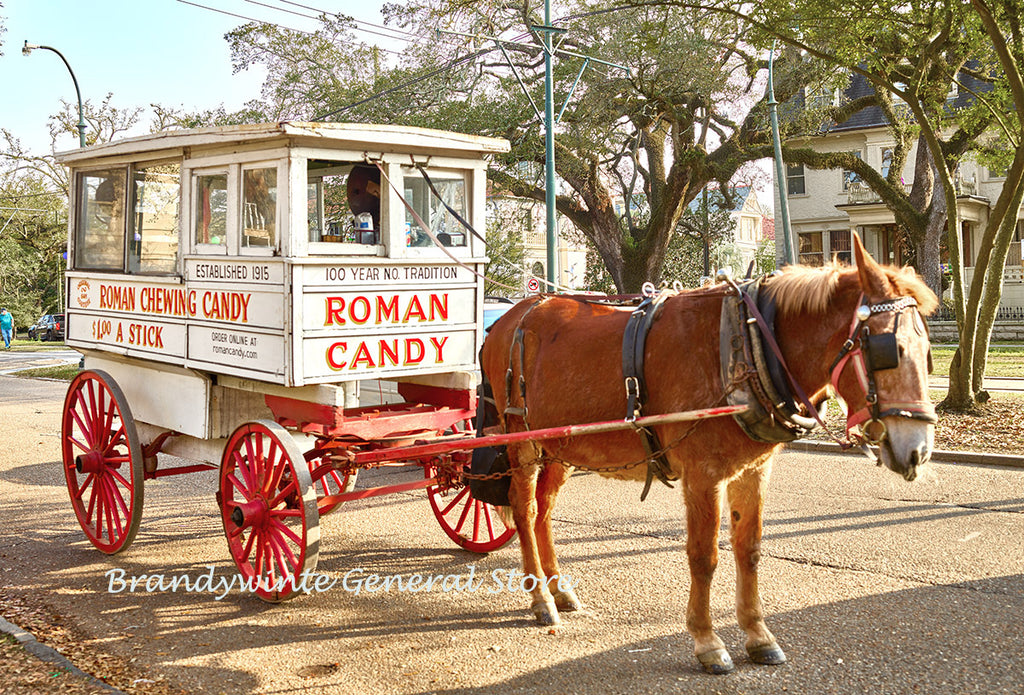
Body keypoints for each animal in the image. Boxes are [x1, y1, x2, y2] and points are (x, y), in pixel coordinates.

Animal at [479, 233, 937, 674]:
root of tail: (509, 317)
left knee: (544, 510)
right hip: (523, 438)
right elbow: (704, 556)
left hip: (560, 445)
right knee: (524, 509)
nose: (918, 450)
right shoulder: (703, 475)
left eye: (927, 351)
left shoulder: (753, 470)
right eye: (887, 349)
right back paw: (540, 598)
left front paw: (758, 635)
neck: (747, 345)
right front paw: (707, 641)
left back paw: (558, 588)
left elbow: (749, 550)